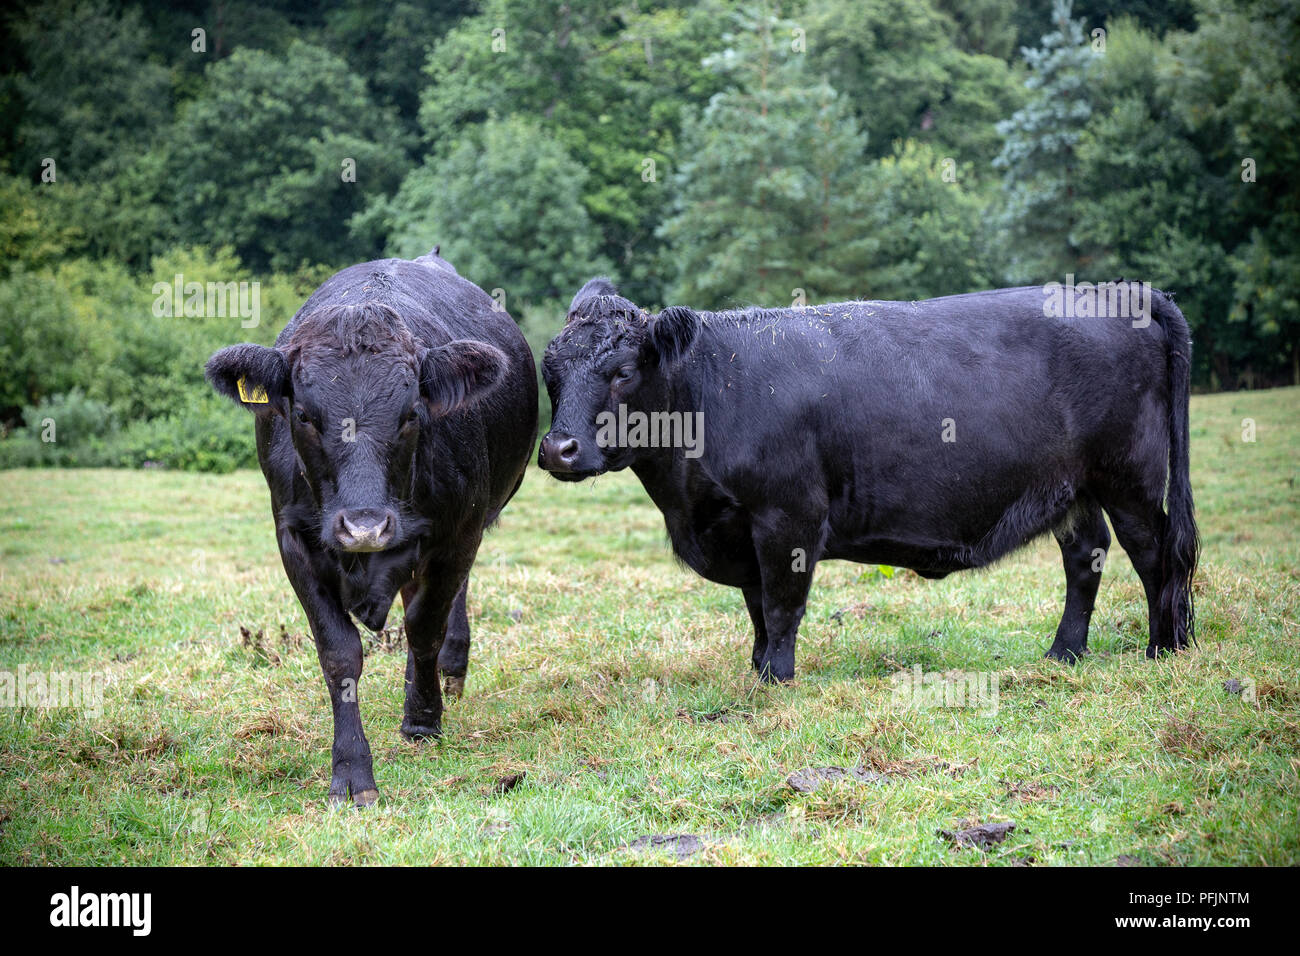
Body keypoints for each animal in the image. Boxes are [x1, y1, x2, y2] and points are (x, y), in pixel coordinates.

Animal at [206, 248, 537, 805]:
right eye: (304, 415)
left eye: (411, 413)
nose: (364, 527)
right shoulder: (295, 540)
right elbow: (339, 655)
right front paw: (352, 771)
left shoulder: (458, 532)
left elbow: (424, 627)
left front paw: (422, 719)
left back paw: (448, 671)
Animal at [539, 278, 1198, 682]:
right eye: (550, 372)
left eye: (622, 371)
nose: (558, 449)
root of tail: (1121, 293)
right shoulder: (741, 531)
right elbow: (757, 608)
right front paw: (757, 669)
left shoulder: (788, 517)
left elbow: (781, 604)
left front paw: (776, 679)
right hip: (1073, 487)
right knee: (1086, 555)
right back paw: (1064, 653)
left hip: (1129, 479)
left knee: (1157, 551)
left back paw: (1165, 648)